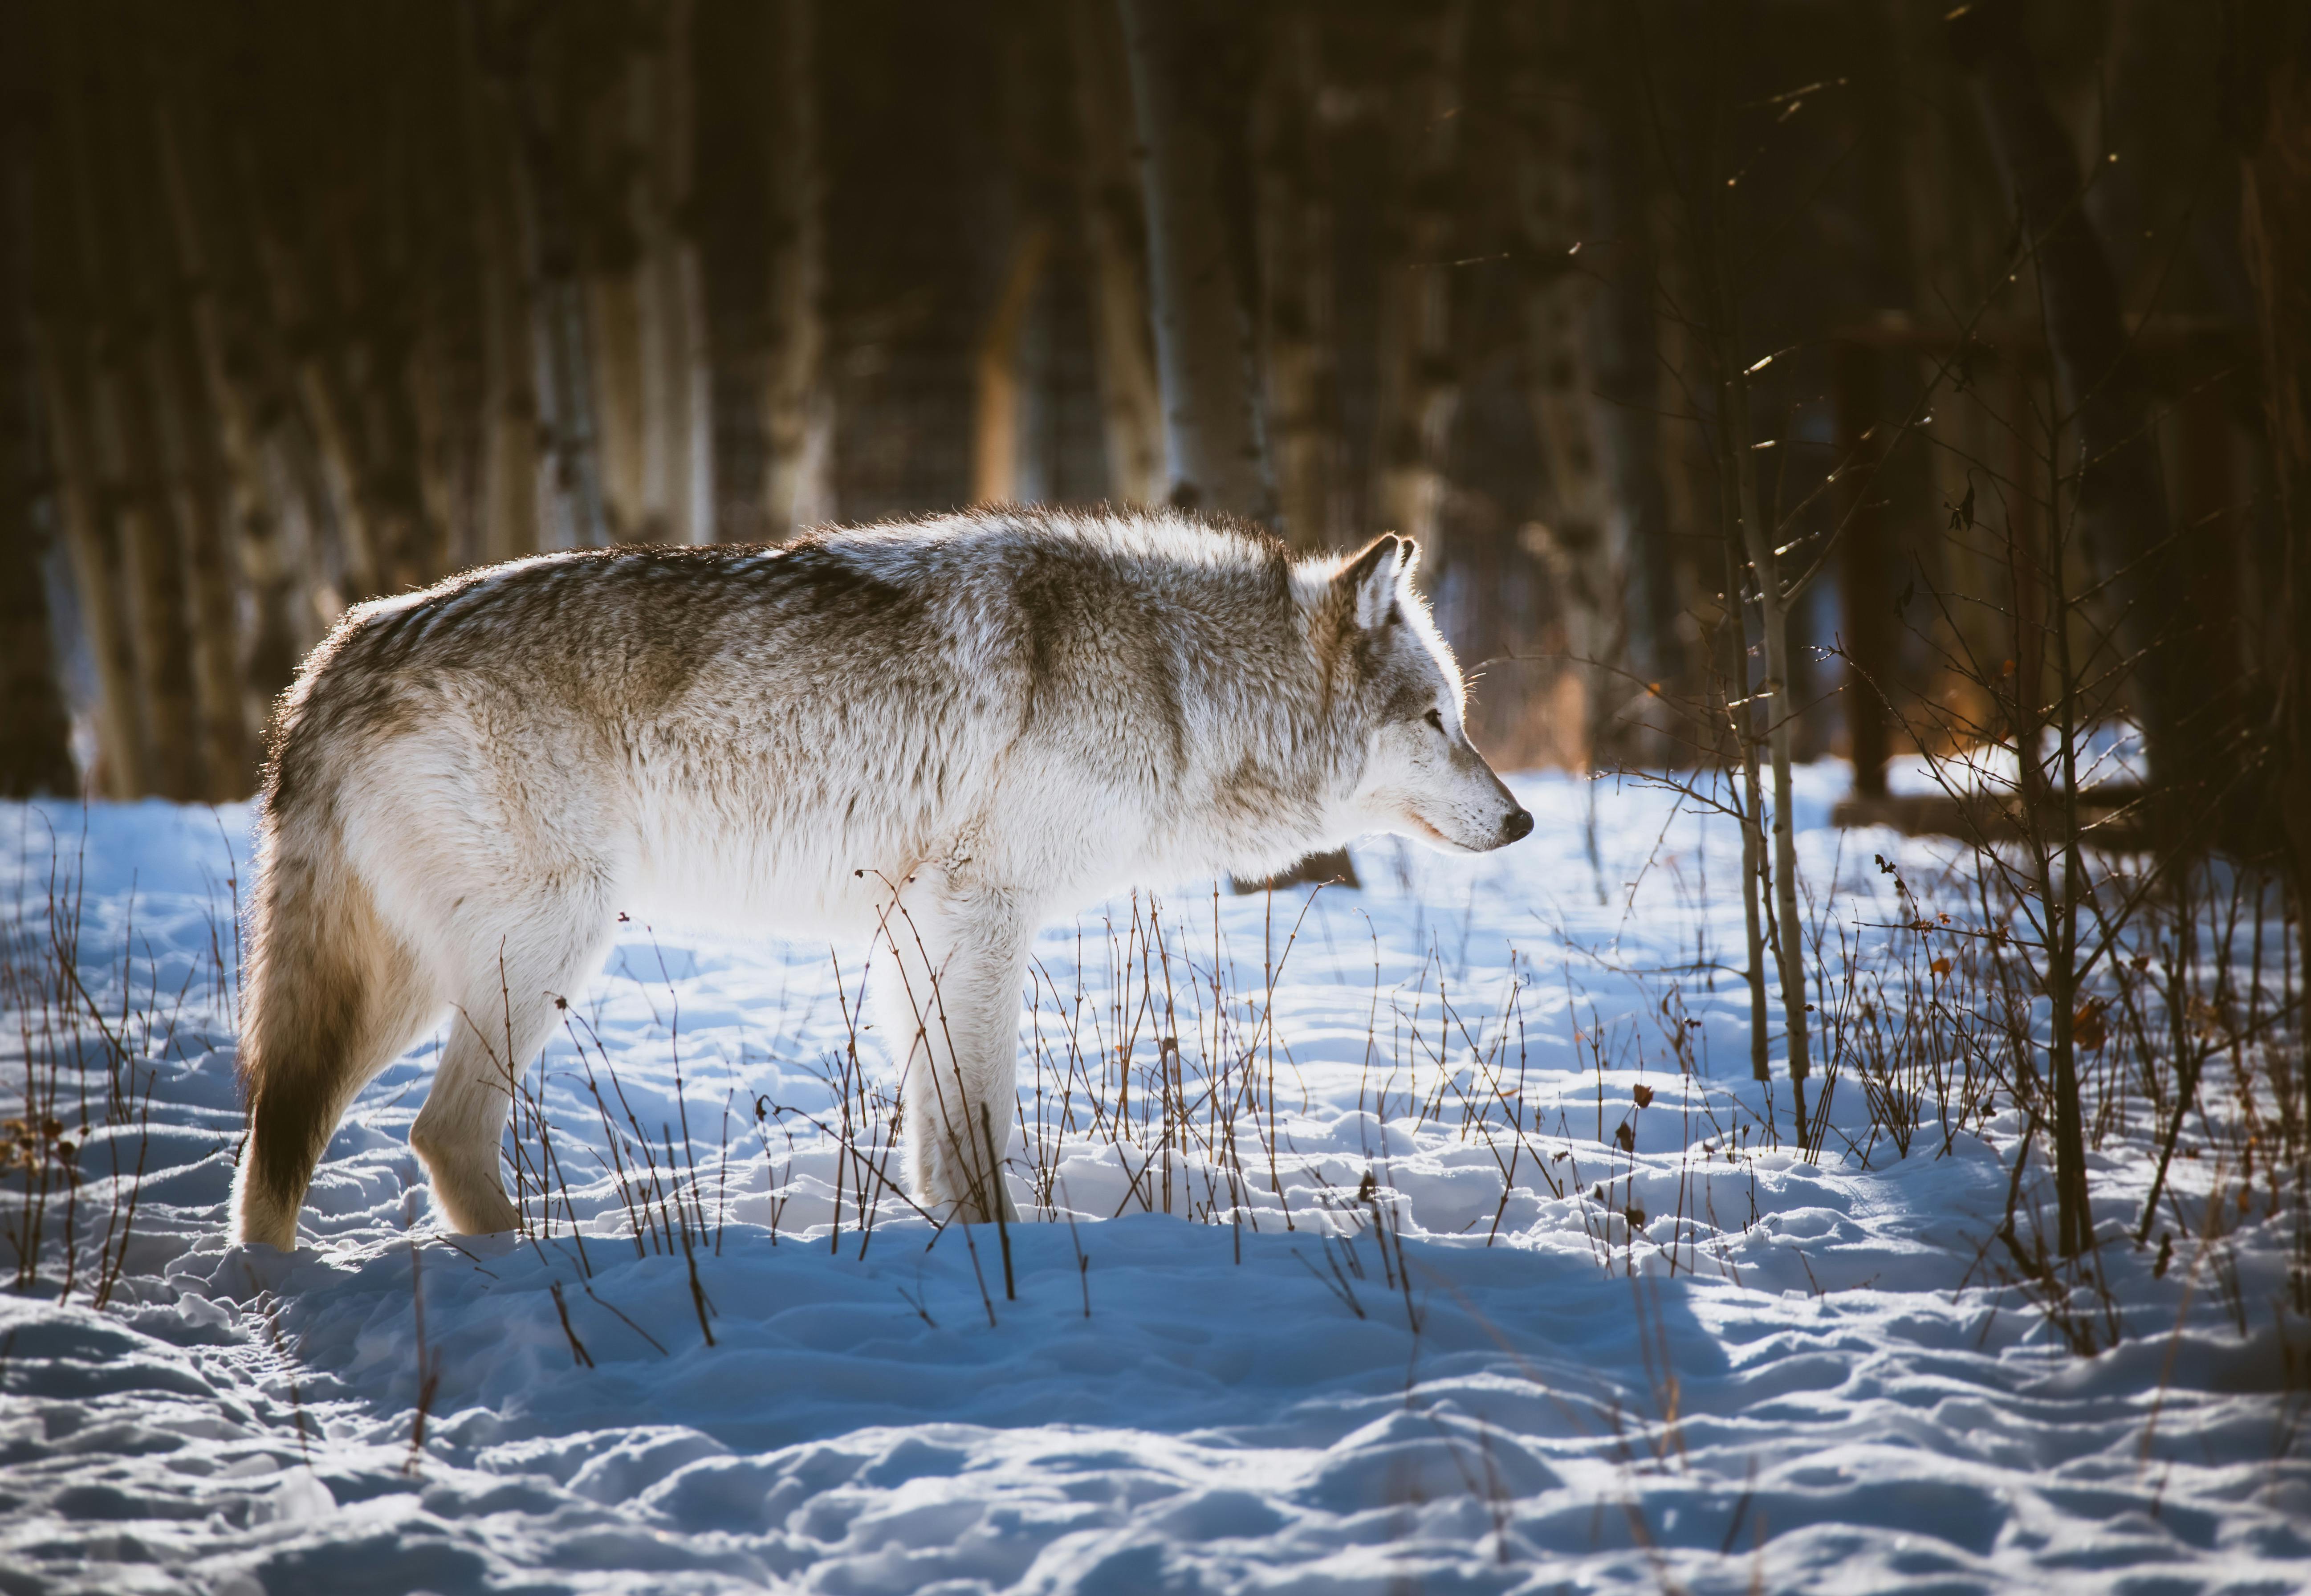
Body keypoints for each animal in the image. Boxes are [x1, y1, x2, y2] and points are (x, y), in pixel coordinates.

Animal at [229, 508, 1531, 1248]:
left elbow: (933, 1129)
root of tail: (338, 653)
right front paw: (1004, 1256)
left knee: (285, 1135)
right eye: (1436, 720)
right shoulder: (982, 917)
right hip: (545, 947)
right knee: (436, 1134)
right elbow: (977, 1120)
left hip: (407, 984)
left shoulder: (919, 930)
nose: (1521, 820)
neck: (1179, 682)